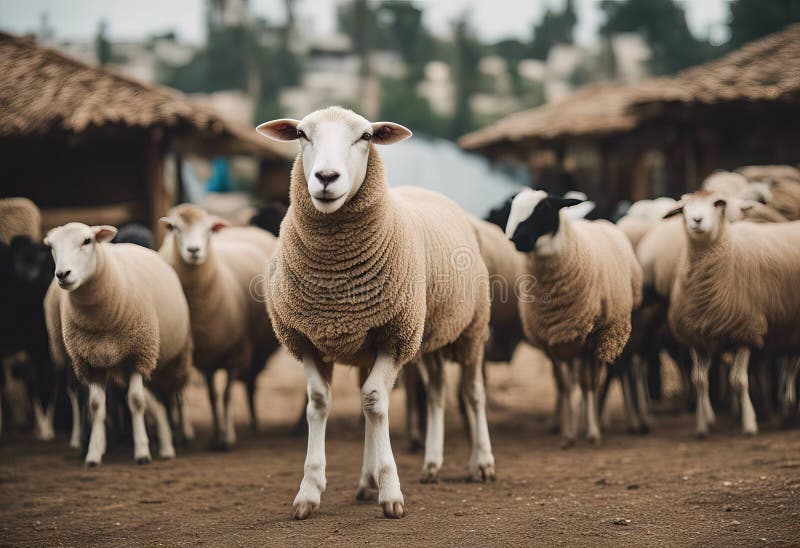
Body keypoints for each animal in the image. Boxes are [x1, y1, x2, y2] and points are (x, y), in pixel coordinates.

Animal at [44, 222, 193, 465]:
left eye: (87, 241)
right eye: (52, 247)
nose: (63, 275)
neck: (100, 322)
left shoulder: (138, 355)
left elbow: (136, 401)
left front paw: (142, 452)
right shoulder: (90, 362)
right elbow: (96, 406)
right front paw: (93, 453)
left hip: (169, 359)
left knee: (168, 395)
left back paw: (170, 442)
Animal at [159, 204, 279, 449]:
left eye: (209, 229)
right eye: (176, 228)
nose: (194, 250)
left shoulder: (234, 350)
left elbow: (224, 395)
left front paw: (226, 437)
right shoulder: (206, 356)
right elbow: (211, 397)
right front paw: (216, 434)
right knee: (179, 392)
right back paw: (183, 433)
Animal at [257, 106, 494, 520]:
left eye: (365, 137)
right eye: (302, 134)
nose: (326, 178)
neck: (336, 280)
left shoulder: (394, 337)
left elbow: (373, 400)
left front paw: (390, 492)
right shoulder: (305, 337)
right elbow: (320, 401)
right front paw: (309, 491)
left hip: (471, 329)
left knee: (471, 392)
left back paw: (481, 463)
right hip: (425, 335)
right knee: (435, 391)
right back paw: (427, 465)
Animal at [506, 189, 642, 448]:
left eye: (543, 208)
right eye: (513, 209)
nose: (516, 239)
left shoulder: (589, 341)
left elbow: (588, 384)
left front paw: (592, 433)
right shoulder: (552, 343)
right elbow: (564, 386)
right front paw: (568, 435)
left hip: (608, 335)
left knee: (608, 375)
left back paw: (626, 422)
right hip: (570, 344)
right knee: (576, 381)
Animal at [665, 190, 800, 437]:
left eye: (718, 203)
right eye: (683, 207)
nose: (696, 220)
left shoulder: (745, 331)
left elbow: (738, 381)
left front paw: (749, 424)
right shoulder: (696, 336)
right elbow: (699, 380)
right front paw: (703, 425)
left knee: (790, 368)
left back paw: (788, 406)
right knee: (791, 365)